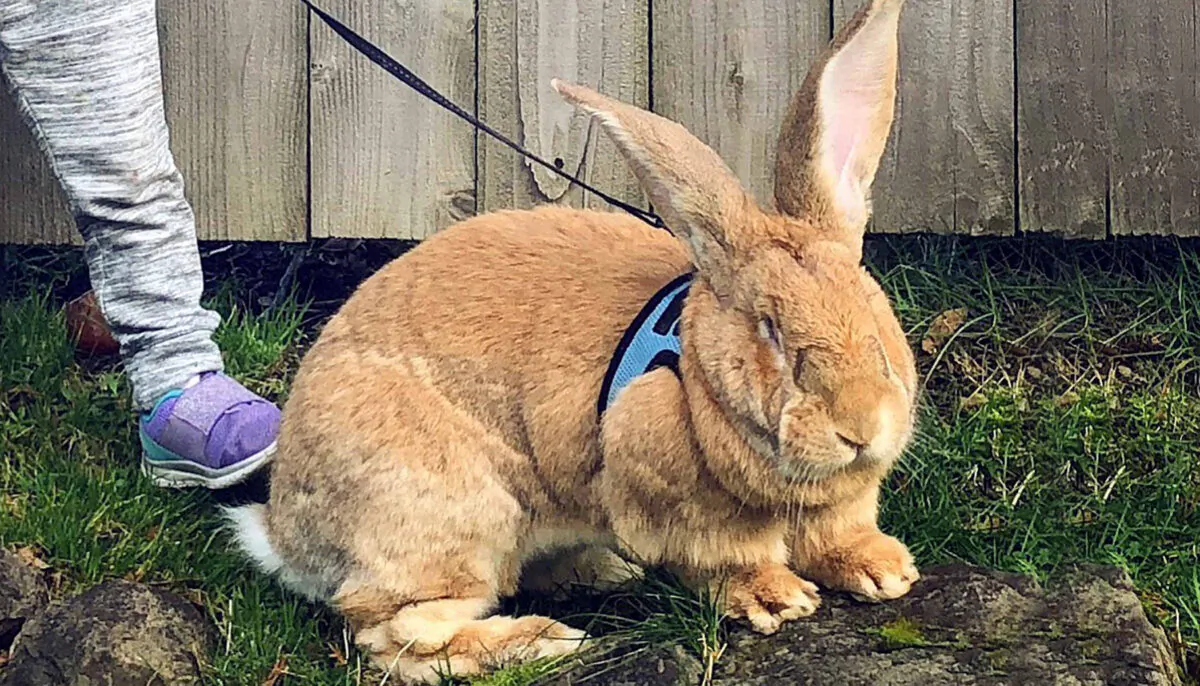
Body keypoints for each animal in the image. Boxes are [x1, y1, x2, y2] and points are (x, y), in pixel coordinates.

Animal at [225, 0, 917, 681]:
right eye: (769, 327)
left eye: (866, 300)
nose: (860, 427)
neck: (695, 377)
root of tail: (287, 536)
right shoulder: (682, 505)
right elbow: (727, 560)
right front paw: (778, 599)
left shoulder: (837, 506)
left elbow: (837, 536)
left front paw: (885, 572)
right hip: (456, 521)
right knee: (398, 633)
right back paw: (545, 640)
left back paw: (605, 571)